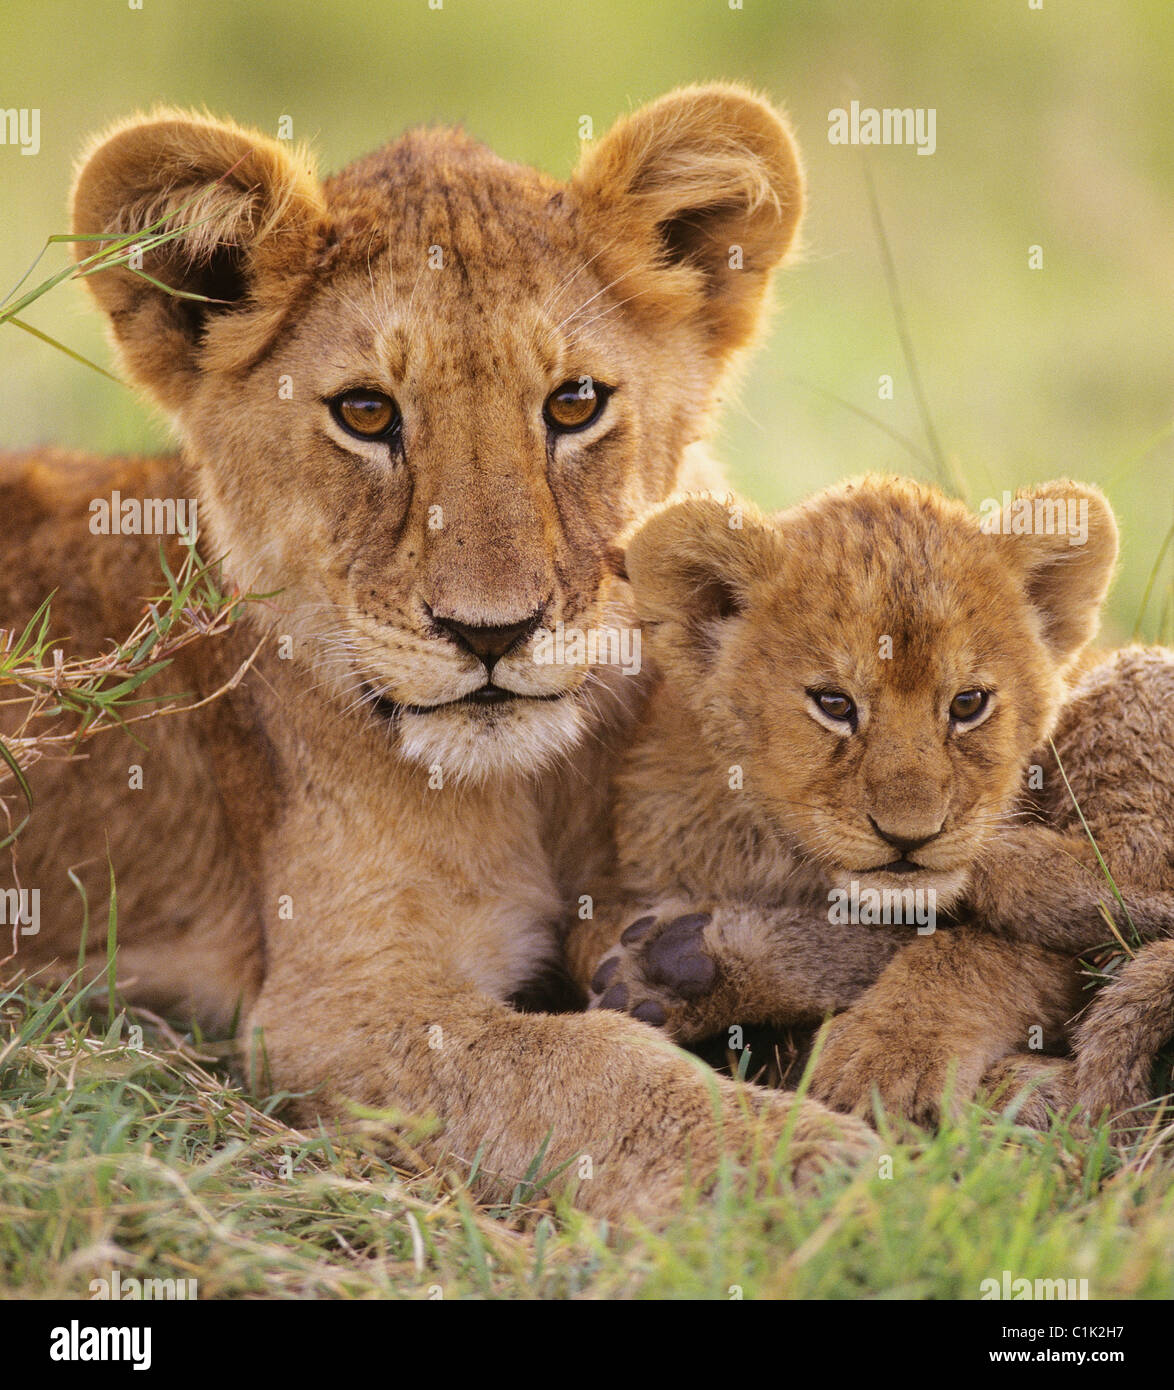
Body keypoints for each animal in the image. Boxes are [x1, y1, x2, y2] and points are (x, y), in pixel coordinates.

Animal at [0, 86, 881, 1222]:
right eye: (366, 412)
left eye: (574, 404)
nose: (491, 631)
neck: (537, 790)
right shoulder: (335, 1005)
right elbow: (581, 1064)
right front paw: (808, 1168)